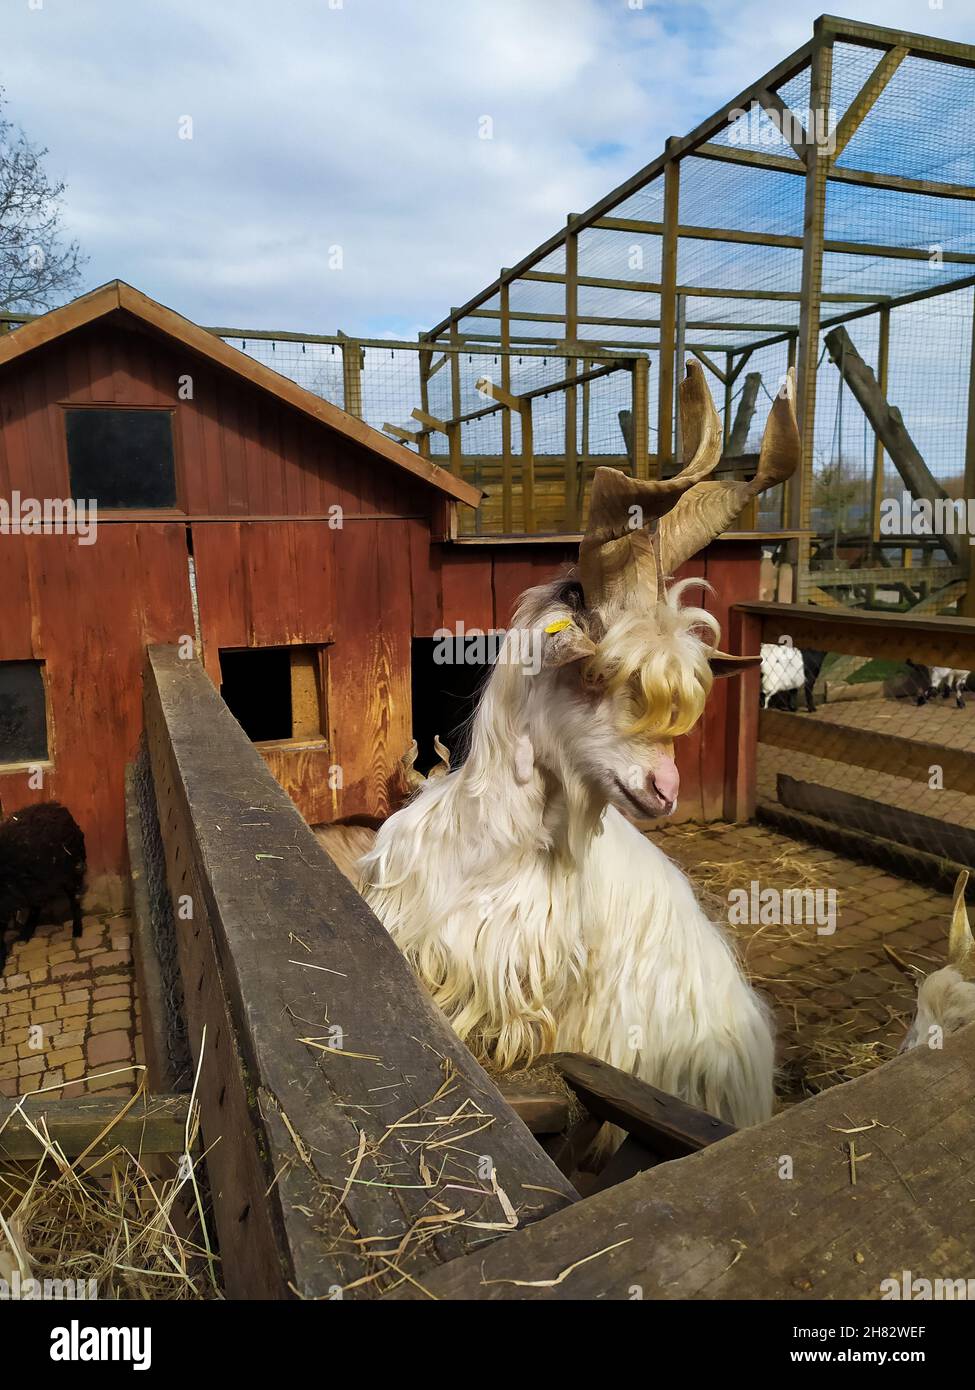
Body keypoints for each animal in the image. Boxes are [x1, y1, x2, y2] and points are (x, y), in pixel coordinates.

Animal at [0, 802, 86, 978]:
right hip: (36, 883)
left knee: (74, 898)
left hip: (72, 870)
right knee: (36, 905)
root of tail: (58, 807)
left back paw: (77, 931)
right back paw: (25, 935)